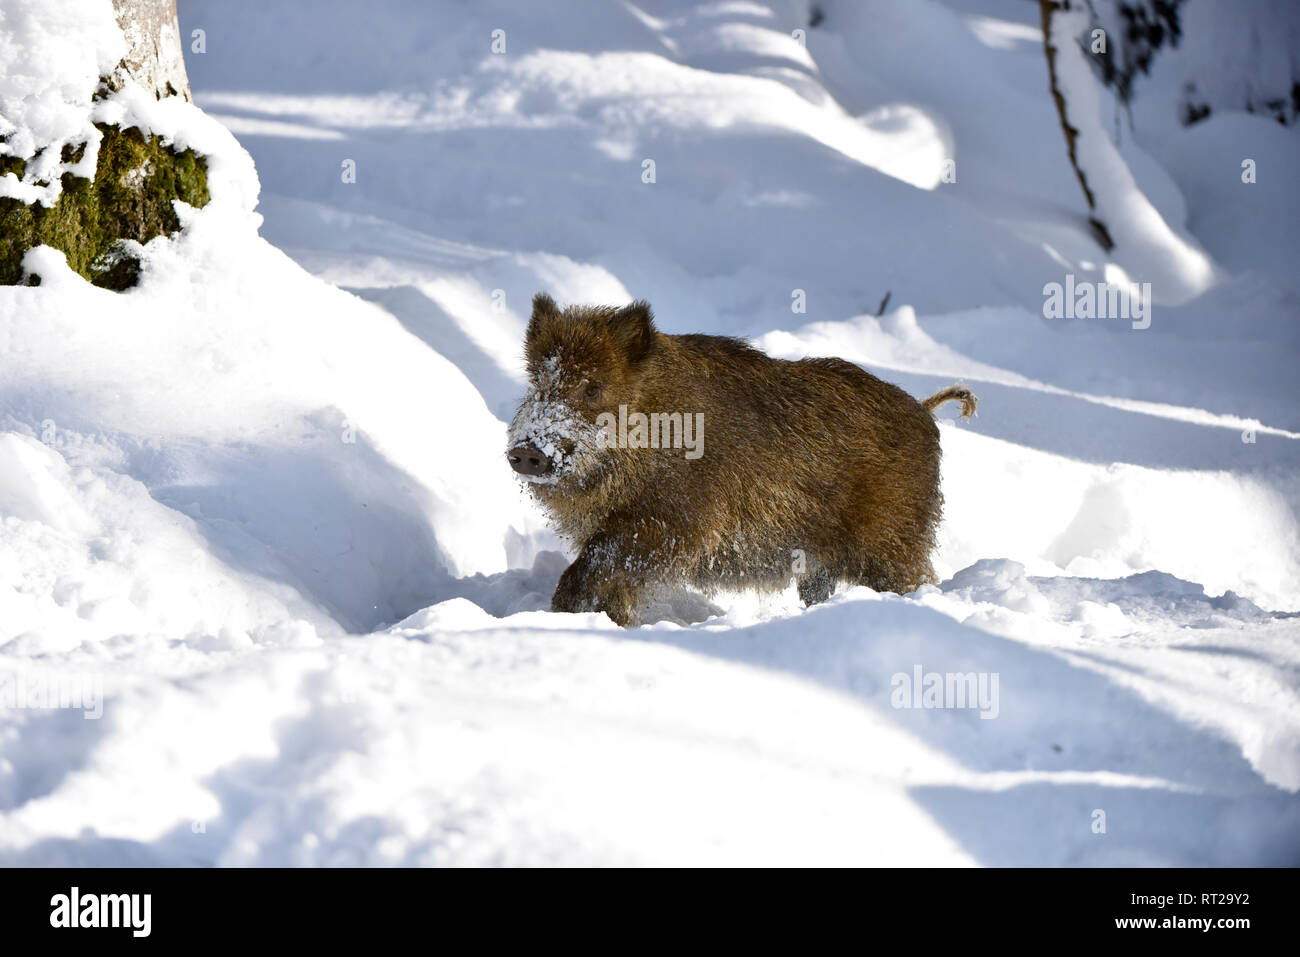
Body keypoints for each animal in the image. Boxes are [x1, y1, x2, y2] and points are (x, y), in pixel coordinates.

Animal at [507, 293, 976, 626]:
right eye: (538, 381)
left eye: (593, 387)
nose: (526, 452)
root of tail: (924, 411)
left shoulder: (674, 522)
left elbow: (592, 569)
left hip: (894, 543)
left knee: (917, 580)